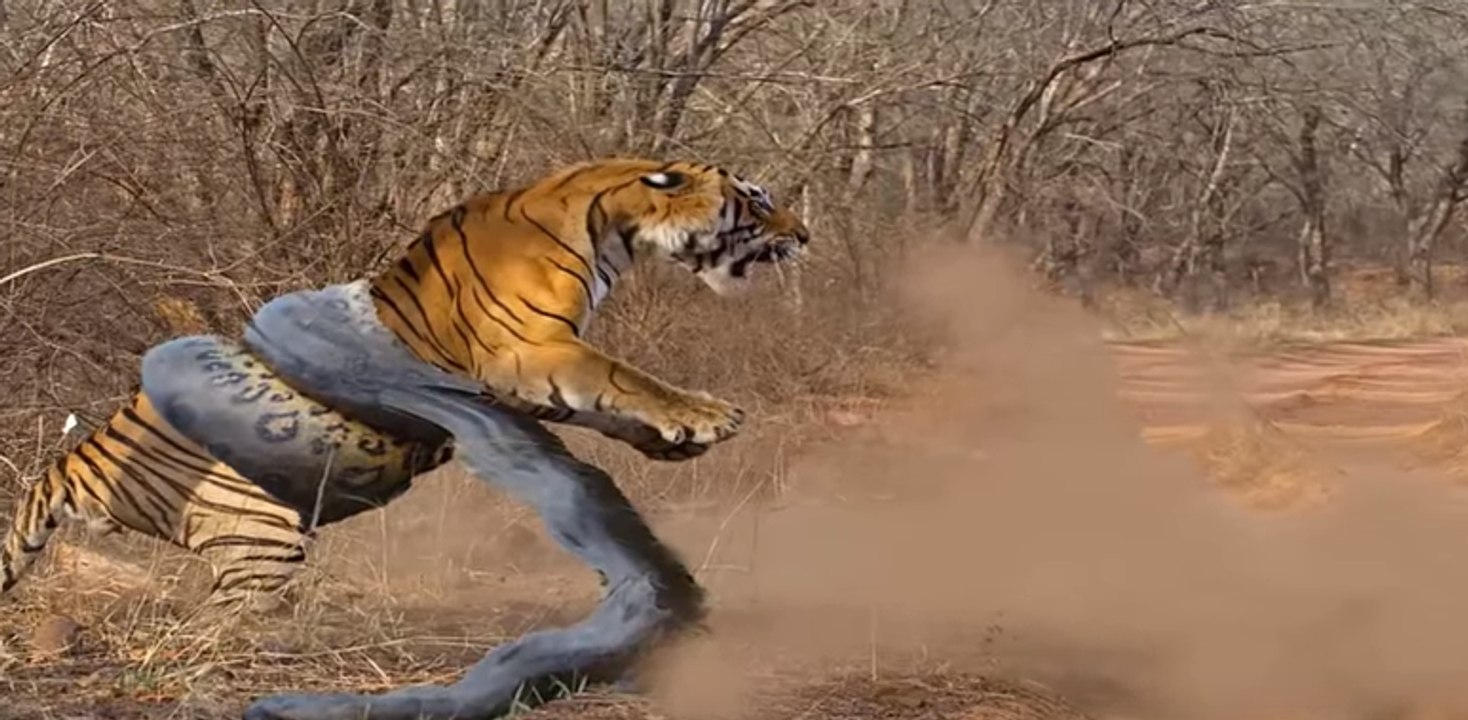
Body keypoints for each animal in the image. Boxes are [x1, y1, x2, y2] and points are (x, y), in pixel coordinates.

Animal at [0, 157, 810, 614]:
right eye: (756, 198)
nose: (805, 235)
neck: (607, 221)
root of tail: (75, 458)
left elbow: (609, 403)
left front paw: (677, 441)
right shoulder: (530, 351)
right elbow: (621, 376)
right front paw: (705, 415)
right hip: (259, 535)